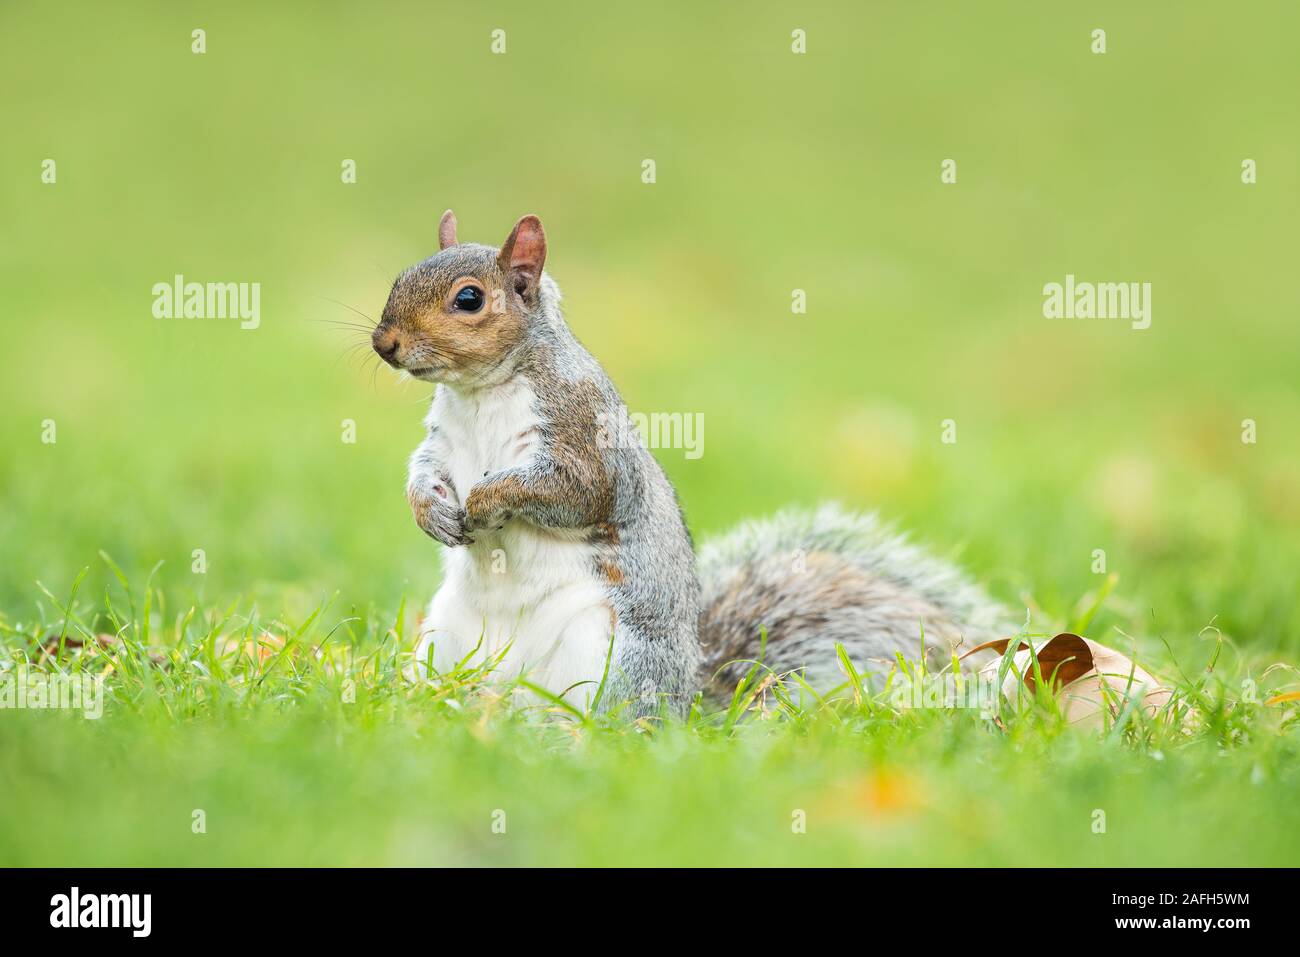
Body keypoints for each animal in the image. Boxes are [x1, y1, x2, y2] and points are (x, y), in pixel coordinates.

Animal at [372, 211, 1012, 716]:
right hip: (441, 638)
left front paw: (485, 500)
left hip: (606, 653)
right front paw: (430, 510)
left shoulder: (584, 438)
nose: (384, 343)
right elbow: (423, 471)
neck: (481, 390)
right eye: (400, 276)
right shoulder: (442, 442)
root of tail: (685, 703)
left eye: (470, 299)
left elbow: (569, 492)